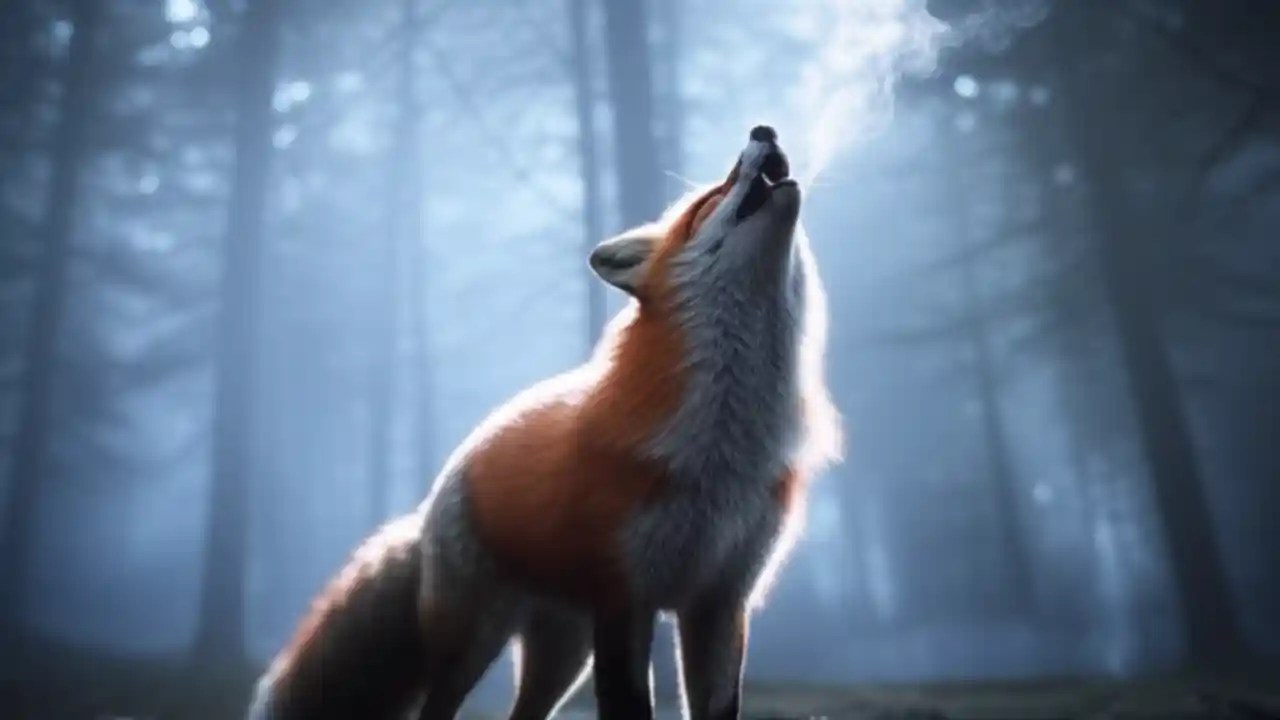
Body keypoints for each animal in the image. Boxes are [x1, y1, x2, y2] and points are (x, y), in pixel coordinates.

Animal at [248, 126, 841, 720]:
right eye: (710, 200)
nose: (763, 130)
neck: (724, 444)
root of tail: (433, 499)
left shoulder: (719, 602)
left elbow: (719, 707)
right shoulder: (624, 598)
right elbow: (629, 706)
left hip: (564, 654)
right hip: (476, 644)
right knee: (435, 708)